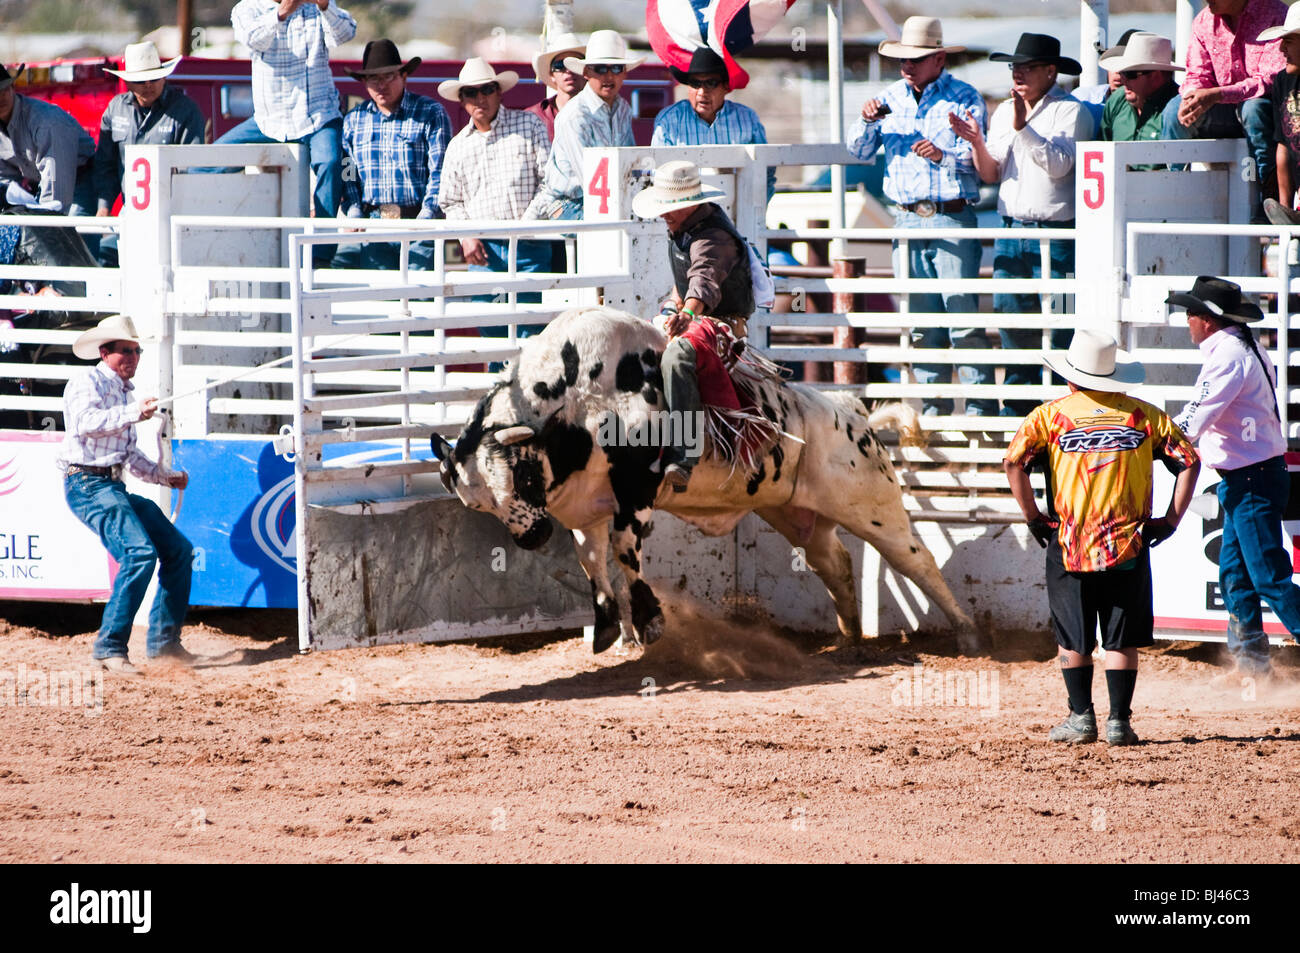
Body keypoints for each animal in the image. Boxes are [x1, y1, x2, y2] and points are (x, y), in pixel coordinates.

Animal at [431, 306, 977, 653]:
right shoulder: (582, 507)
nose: (532, 536)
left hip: (870, 503)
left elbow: (625, 550)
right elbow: (591, 559)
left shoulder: (636, 489)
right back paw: (848, 639)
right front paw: (608, 627)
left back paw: (968, 633)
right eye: (478, 504)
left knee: (916, 559)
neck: (578, 397)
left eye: (519, 473)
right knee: (837, 564)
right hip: (799, 515)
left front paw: (649, 621)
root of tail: (850, 409)